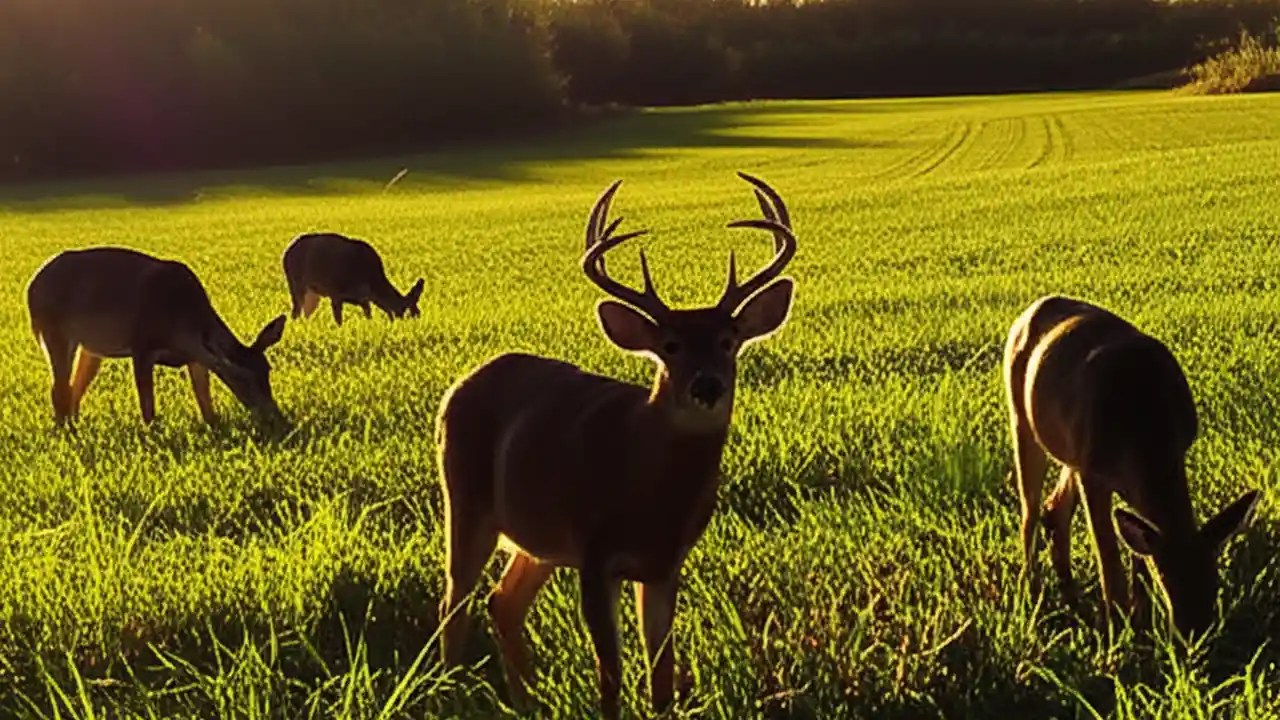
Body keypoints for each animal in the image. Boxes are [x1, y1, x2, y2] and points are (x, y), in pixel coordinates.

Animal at [27, 247, 288, 427]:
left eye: (268, 370)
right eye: (243, 378)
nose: (275, 416)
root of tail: (31, 286)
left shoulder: (195, 357)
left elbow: (204, 398)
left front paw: (213, 425)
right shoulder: (142, 345)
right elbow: (148, 406)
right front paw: (152, 435)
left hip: (90, 347)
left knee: (74, 388)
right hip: (53, 331)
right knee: (59, 389)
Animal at [282, 232, 424, 326]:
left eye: (418, 313)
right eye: (411, 313)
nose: (410, 327)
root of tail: (286, 252)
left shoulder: (363, 299)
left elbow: (368, 315)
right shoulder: (335, 292)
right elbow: (338, 320)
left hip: (313, 292)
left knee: (306, 311)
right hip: (295, 283)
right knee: (295, 311)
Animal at [434, 172, 797, 718]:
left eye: (729, 339)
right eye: (670, 346)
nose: (706, 386)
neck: (649, 494)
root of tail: (459, 385)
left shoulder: (665, 564)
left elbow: (661, 672)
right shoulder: (594, 550)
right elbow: (611, 673)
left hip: (537, 538)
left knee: (503, 601)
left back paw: (526, 700)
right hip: (466, 499)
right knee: (453, 603)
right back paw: (450, 690)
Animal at [1004, 294, 1260, 639]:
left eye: (1213, 579)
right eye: (1167, 580)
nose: (1194, 633)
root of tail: (1030, 310)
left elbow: (1138, 552)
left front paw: (1141, 619)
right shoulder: (1093, 472)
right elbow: (1109, 554)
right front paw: (1117, 624)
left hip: (1070, 447)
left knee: (1054, 507)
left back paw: (1069, 594)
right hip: (1022, 417)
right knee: (1030, 510)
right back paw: (1032, 589)